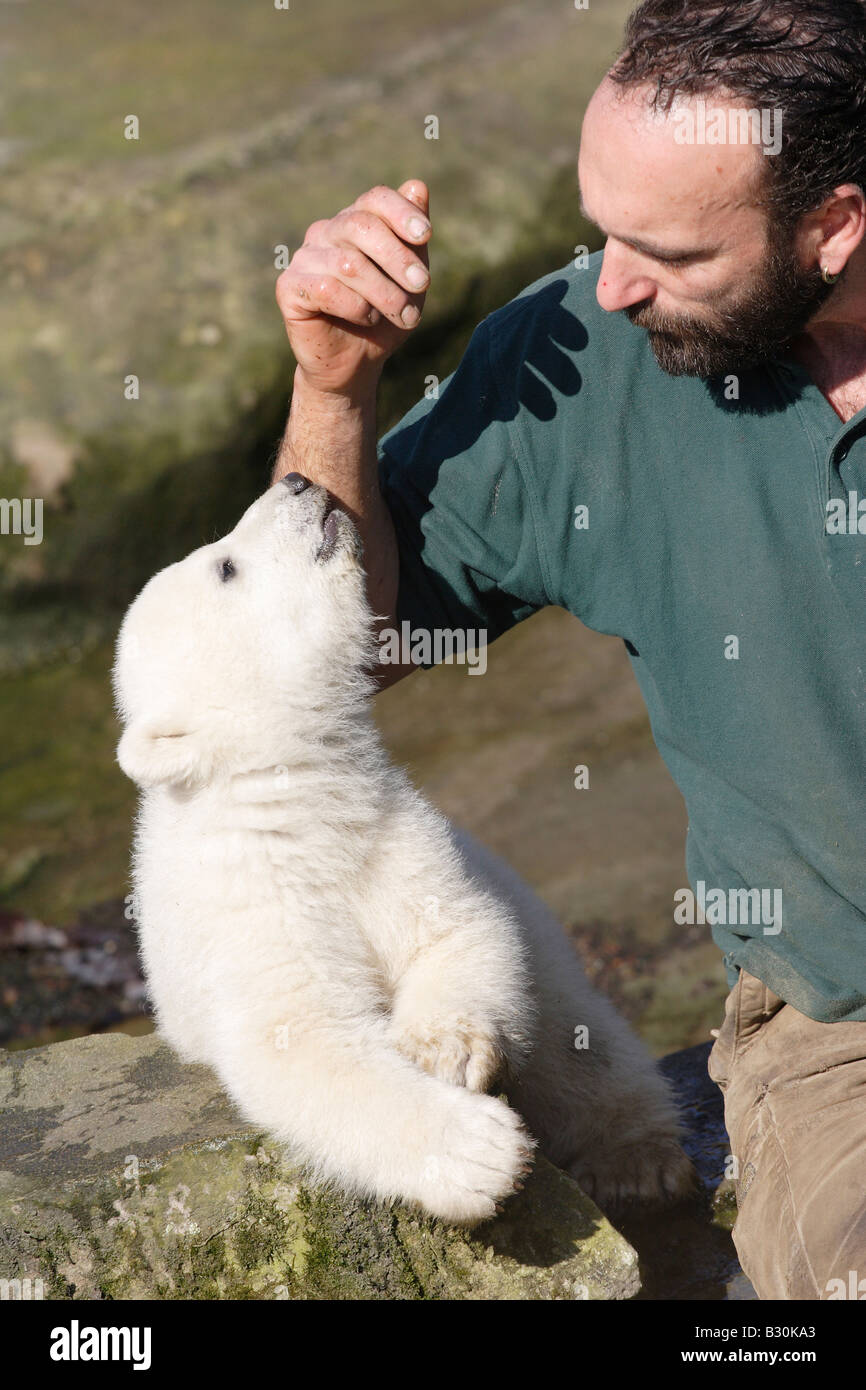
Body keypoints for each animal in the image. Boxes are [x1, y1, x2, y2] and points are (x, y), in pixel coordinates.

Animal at [113, 475, 694, 1226]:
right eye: (226, 566)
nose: (297, 482)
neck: (290, 797)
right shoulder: (249, 911)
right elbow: (306, 1043)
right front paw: (479, 1153)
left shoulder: (393, 834)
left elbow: (455, 930)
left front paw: (444, 1049)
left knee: (574, 1037)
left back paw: (638, 1162)